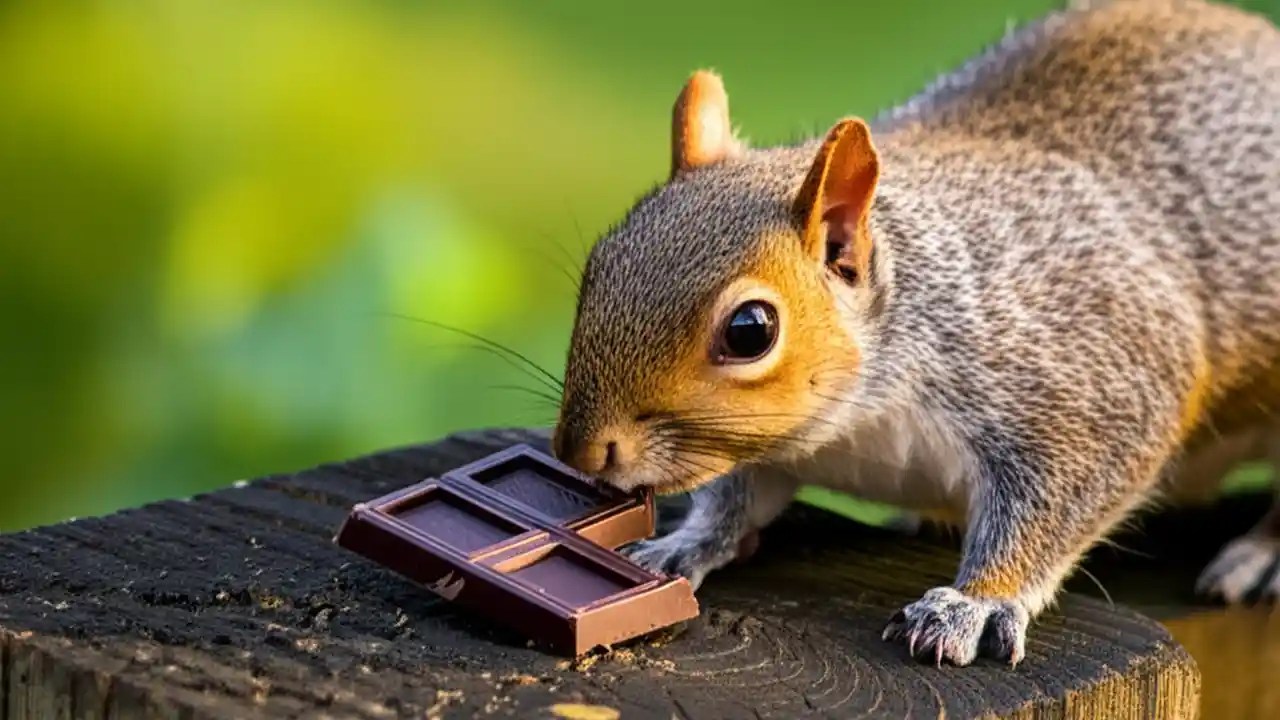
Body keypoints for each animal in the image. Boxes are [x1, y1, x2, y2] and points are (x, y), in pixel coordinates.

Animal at [551, 0, 1280, 667]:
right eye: (598, 265)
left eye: (750, 331)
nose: (581, 451)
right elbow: (739, 496)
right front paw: (688, 542)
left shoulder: (1088, 375)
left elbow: (1055, 503)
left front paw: (976, 602)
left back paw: (1262, 555)